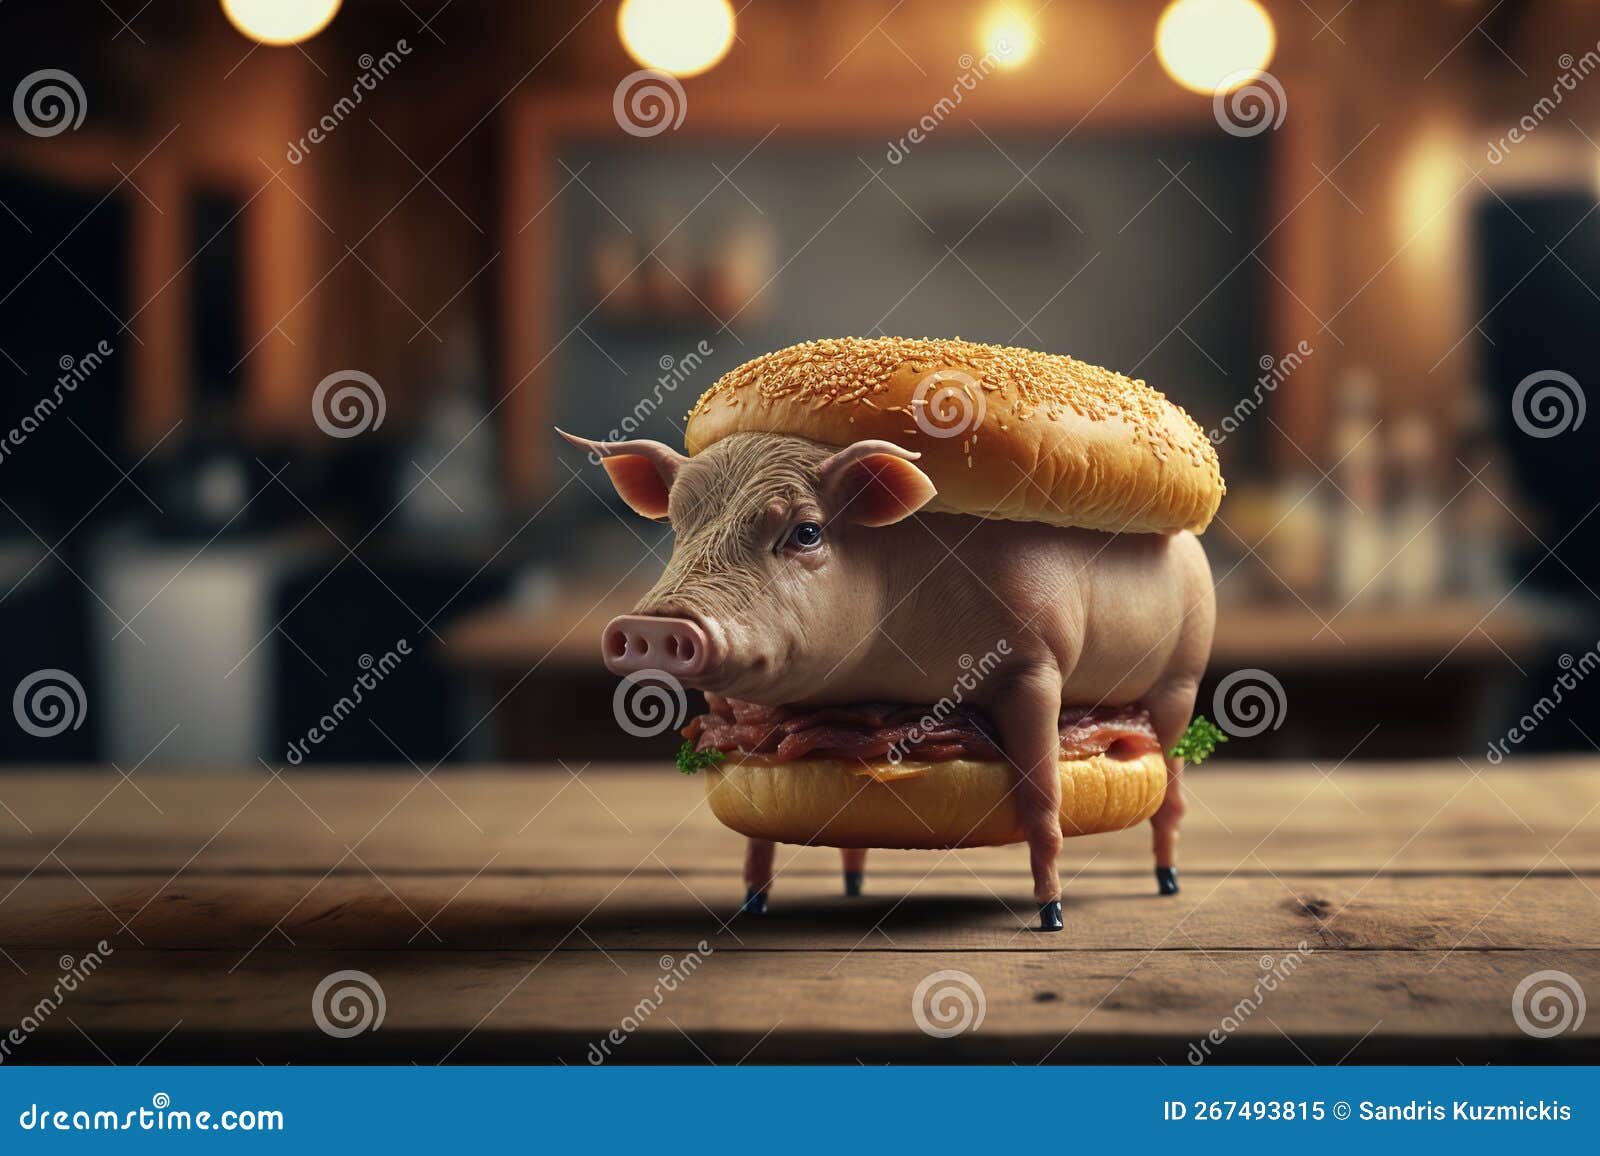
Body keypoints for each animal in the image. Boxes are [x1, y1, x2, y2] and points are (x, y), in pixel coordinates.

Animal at [559, 428, 1215, 931]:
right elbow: (756, 827)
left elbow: (1042, 801)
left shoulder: (1035, 666)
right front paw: (752, 906)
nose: (651, 624)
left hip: (1182, 673)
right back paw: (849, 888)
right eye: (677, 526)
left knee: (1171, 789)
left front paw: (1050, 917)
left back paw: (1168, 882)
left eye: (806, 532)